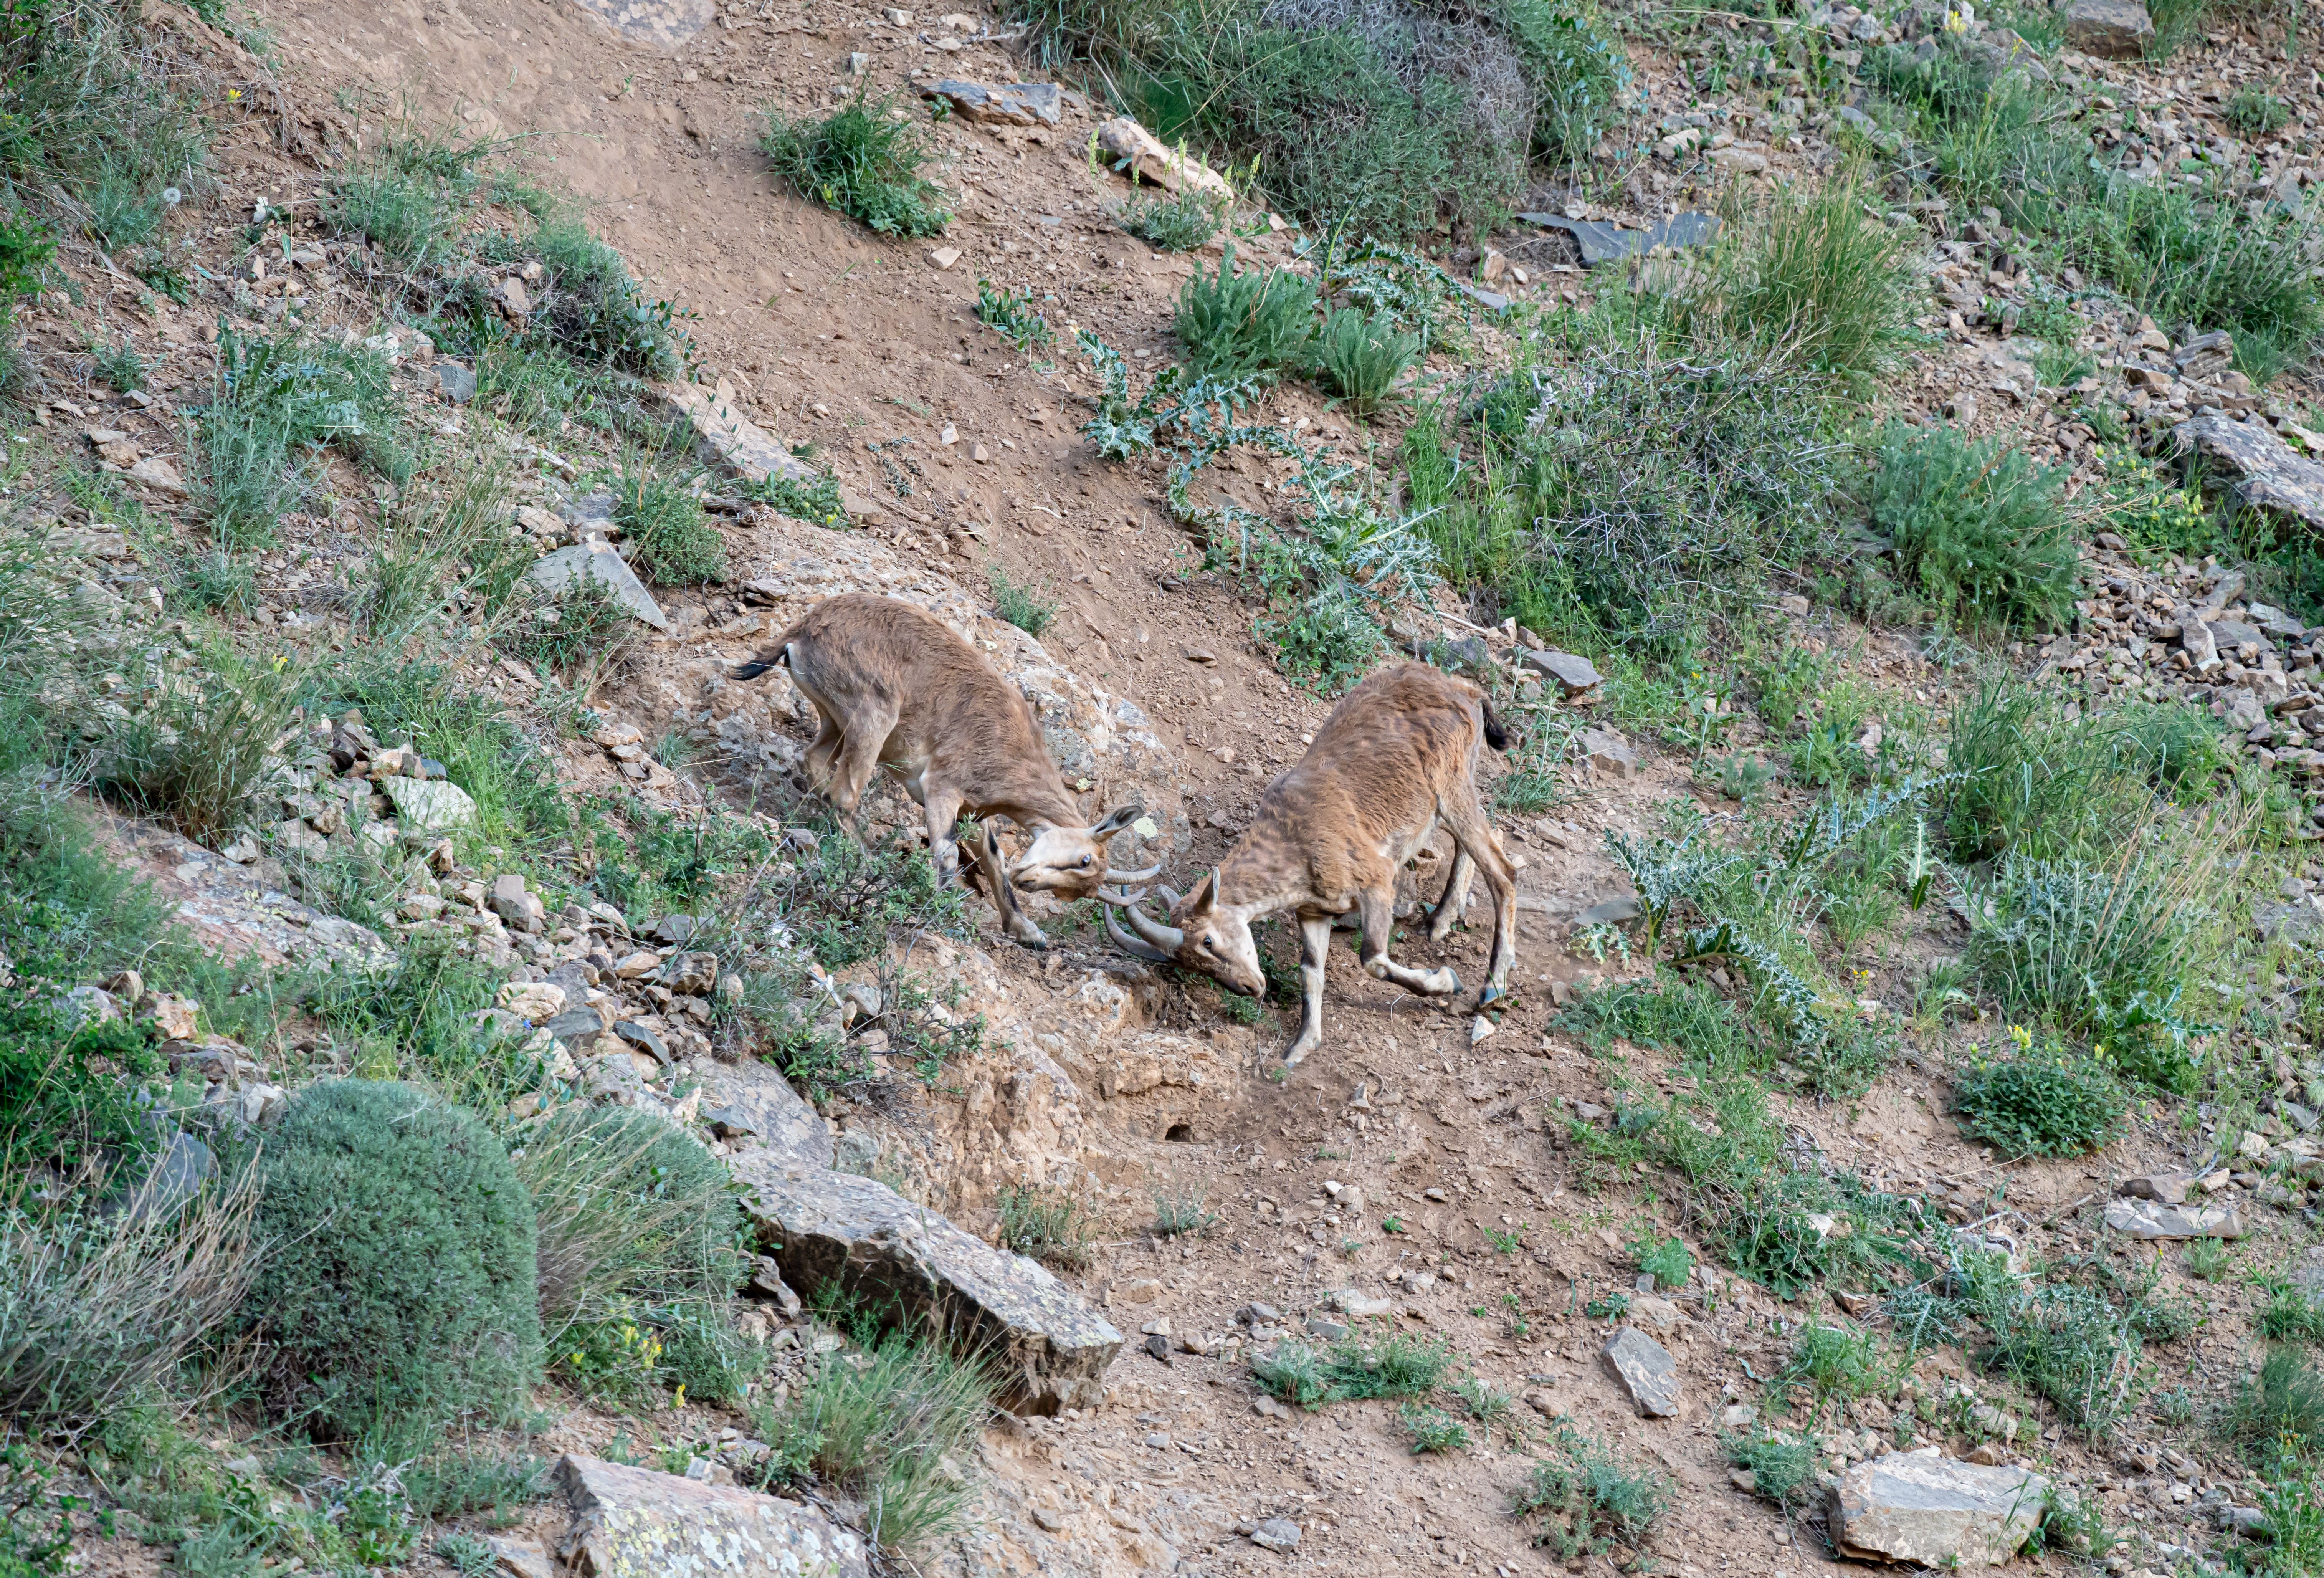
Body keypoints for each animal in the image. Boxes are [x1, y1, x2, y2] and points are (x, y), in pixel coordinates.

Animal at [733, 593, 1156, 945]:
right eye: (1085, 861)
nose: (1027, 879)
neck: (1014, 754)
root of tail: (802, 632)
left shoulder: (973, 809)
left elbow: (993, 856)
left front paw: (1027, 931)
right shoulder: (942, 788)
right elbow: (948, 854)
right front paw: (944, 914)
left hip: (835, 720)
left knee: (816, 760)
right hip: (872, 713)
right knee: (845, 793)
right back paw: (865, 862)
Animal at [1101, 662, 1516, 1066]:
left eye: (1208, 940)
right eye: (1188, 964)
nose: (1250, 987)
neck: (1294, 843)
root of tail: (1466, 690)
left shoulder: (1377, 879)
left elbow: (1374, 959)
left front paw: (1447, 980)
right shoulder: (1314, 912)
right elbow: (1311, 971)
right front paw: (1301, 1046)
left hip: (1451, 785)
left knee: (1503, 872)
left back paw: (1492, 988)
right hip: (1440, 803)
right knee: (1485, 834)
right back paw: (1442, 921)